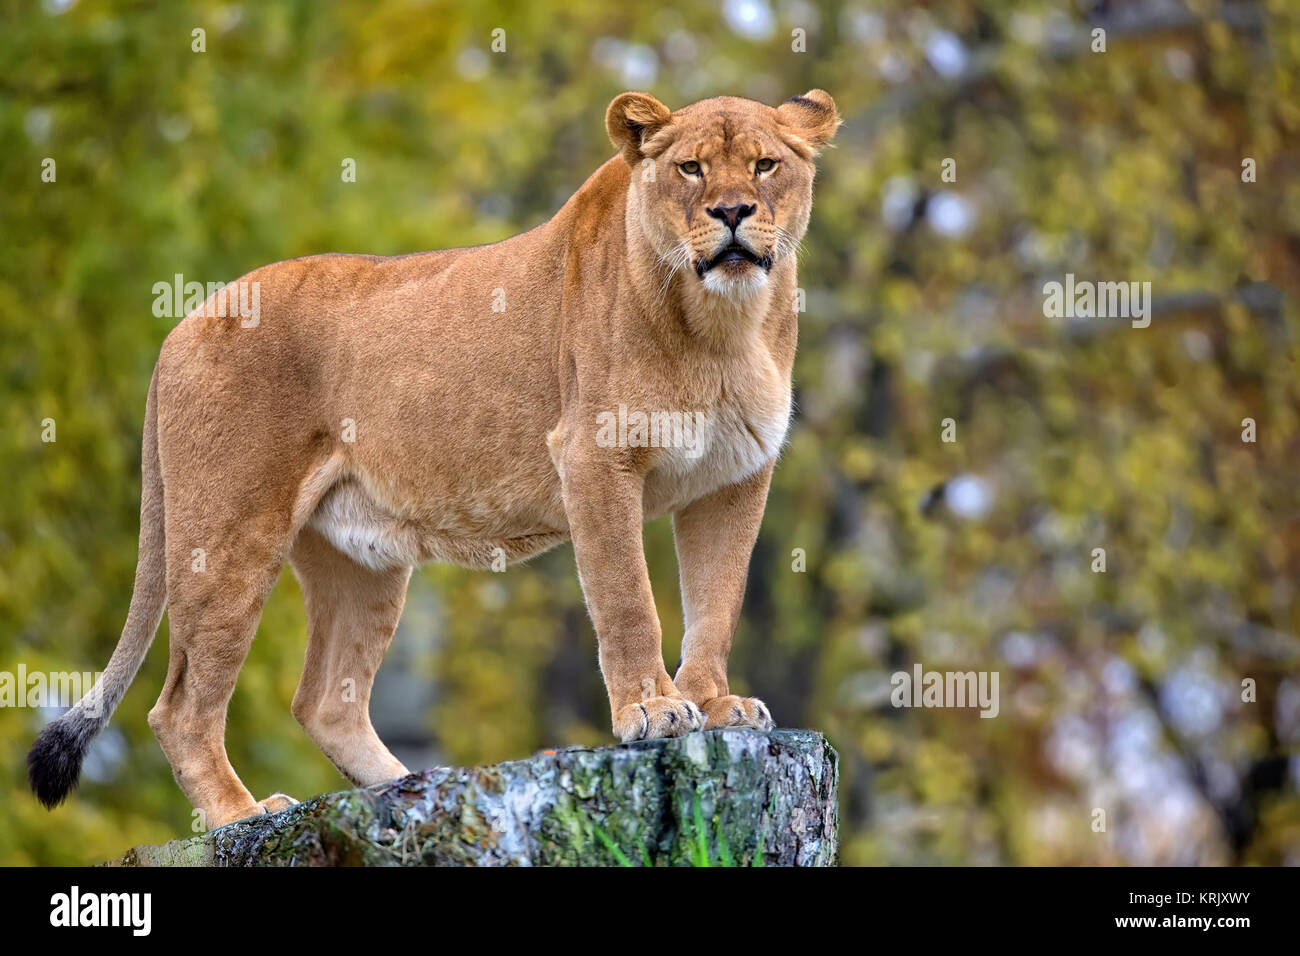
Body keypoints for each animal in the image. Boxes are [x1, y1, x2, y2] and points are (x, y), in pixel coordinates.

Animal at [28, 90, 840, 829]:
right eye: (690, 168)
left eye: (765, 165)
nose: (731, 213)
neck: (723, 325)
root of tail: (181, 326)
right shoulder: (594, 457)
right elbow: (628, 600)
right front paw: (652, 709)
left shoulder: (734, 481)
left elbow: (717, 602)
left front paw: (713, 703)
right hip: (227, 538)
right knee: (180, 709)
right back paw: (243, 813)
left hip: (361, 561)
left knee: (324, 702)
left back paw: (404, 787)